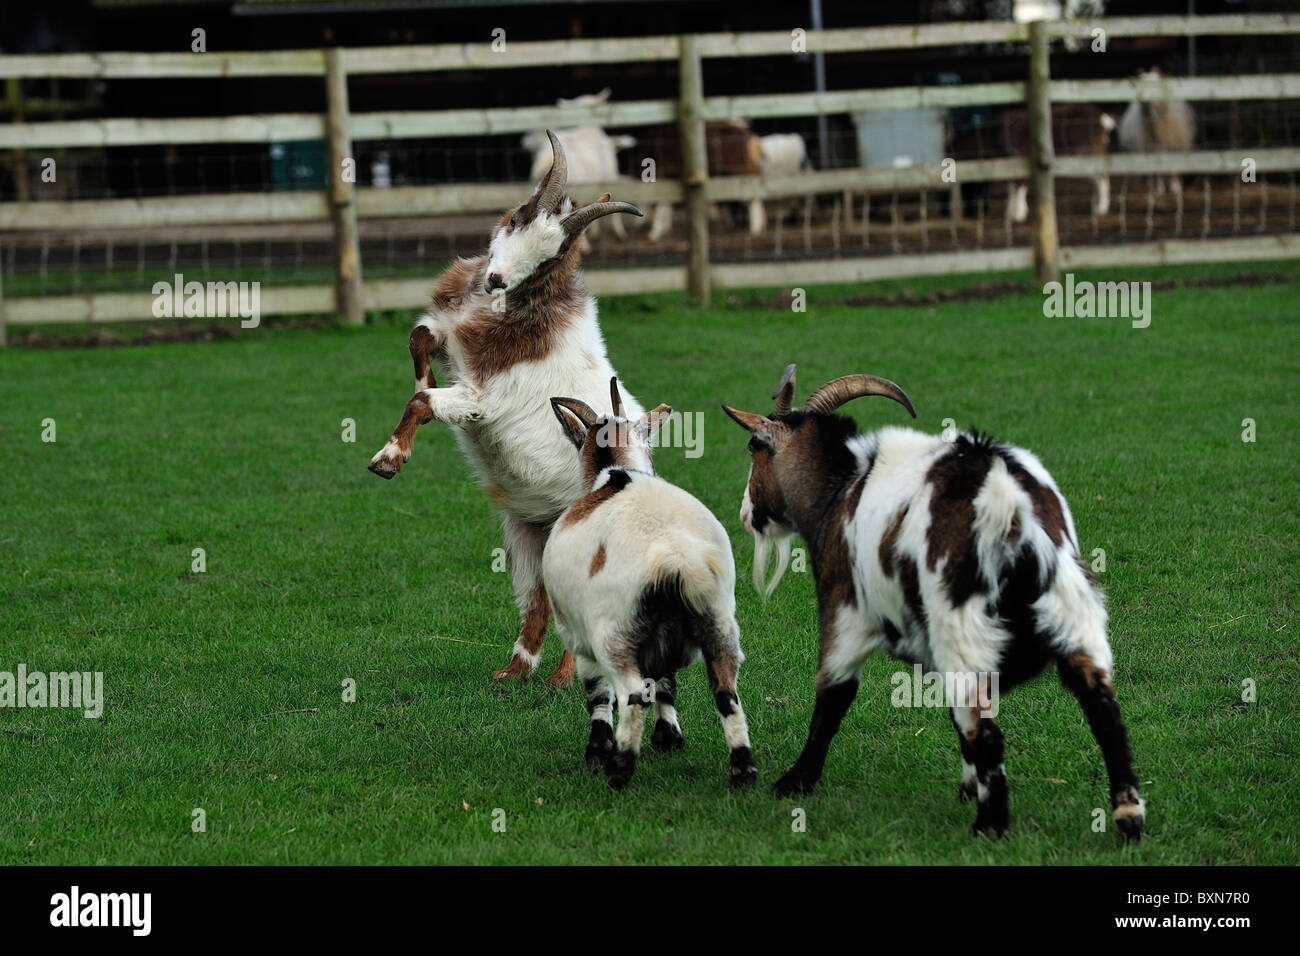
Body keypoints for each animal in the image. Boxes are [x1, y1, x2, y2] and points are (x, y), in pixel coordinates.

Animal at [367, 131, 644, 688]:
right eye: (518, 217)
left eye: (551, 255)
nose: (495, 278)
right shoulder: (451, 334)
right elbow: (419, 337)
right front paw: (423, 376)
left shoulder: (483, 398)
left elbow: (424, 401)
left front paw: (388, 460)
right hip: (526, 533)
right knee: (538, 601)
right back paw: (514, 673)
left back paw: (561, 679)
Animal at [544, 379, 758, 790]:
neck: (616, 474)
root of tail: (673, 557)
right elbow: (667, 680)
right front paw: (669, 739)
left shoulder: (578, 637)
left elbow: (598, 694)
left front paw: (597, 752)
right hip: (720, 620)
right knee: (726, 692)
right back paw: (743, 769)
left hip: (615, 634)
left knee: (631, 694)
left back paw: (619, 768)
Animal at [722, 365, 1145, 840]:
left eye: (754, 448)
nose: (745, 514)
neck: (841, 489)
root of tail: (1008, 503)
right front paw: (968, 785)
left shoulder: (845, 611)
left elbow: (832, 698)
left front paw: (795, 781)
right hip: (1074, 616)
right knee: (1104, 710)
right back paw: (1128, 817)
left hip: (964, 629)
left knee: (988, 732)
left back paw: (989, 826)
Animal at [1118, 68, 1196, 197]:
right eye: (1140, 85)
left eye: (1155, 85)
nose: (1144, 99)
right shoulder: (1151, 147)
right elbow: (1156, 169)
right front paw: (1159, 188)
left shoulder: (1175, 145)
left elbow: (1174, 166)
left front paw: (1175, 187)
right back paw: (1151, 185)